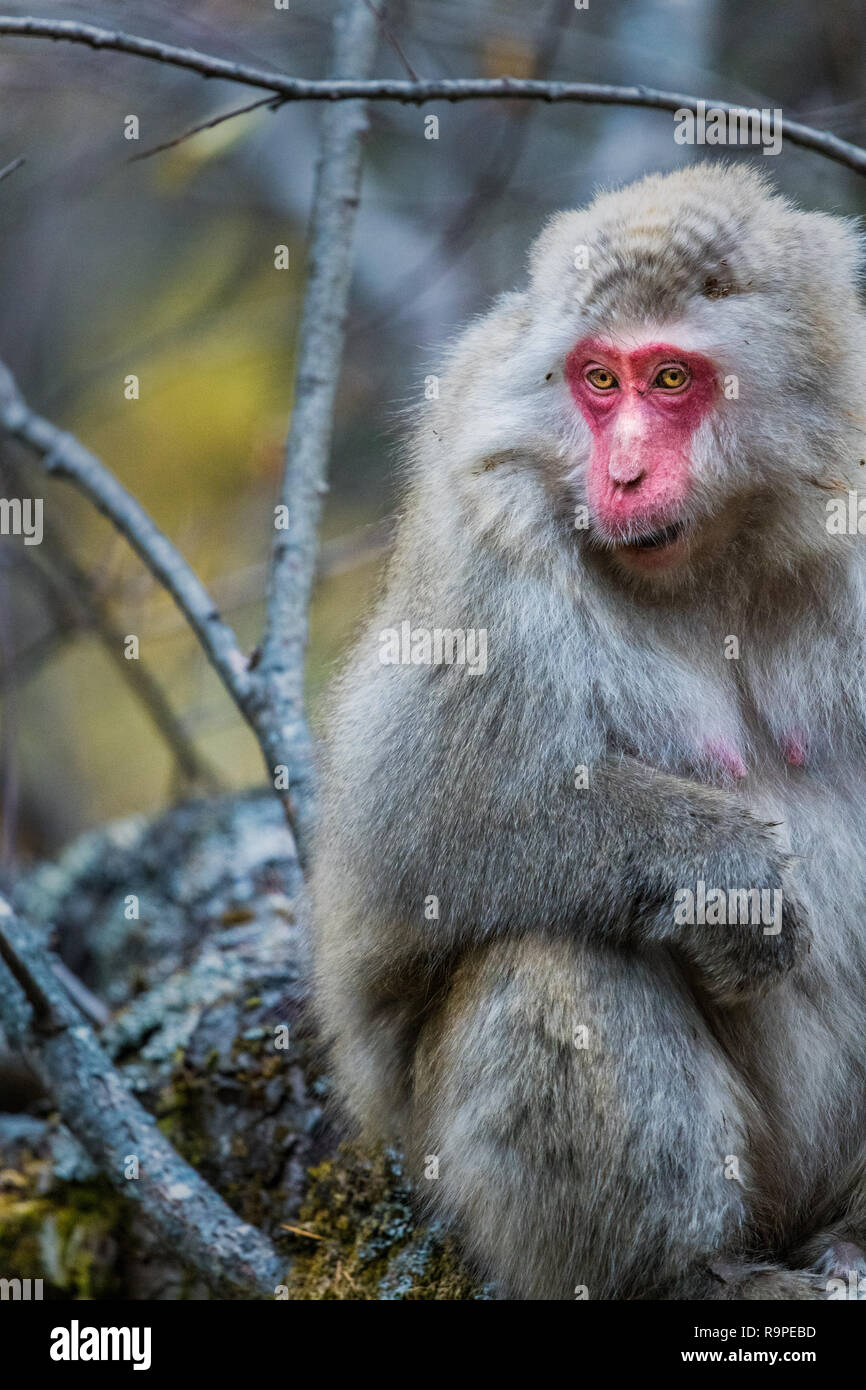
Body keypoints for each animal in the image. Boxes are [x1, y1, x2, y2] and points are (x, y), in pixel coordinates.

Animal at [312, 163, 866, 1300]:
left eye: (670, 379)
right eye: (597, 381)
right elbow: (419, 836)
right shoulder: (487, 543)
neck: (723, 549)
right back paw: (687, 1271)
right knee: (552, 950)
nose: (620, 477)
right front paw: (726, 870)